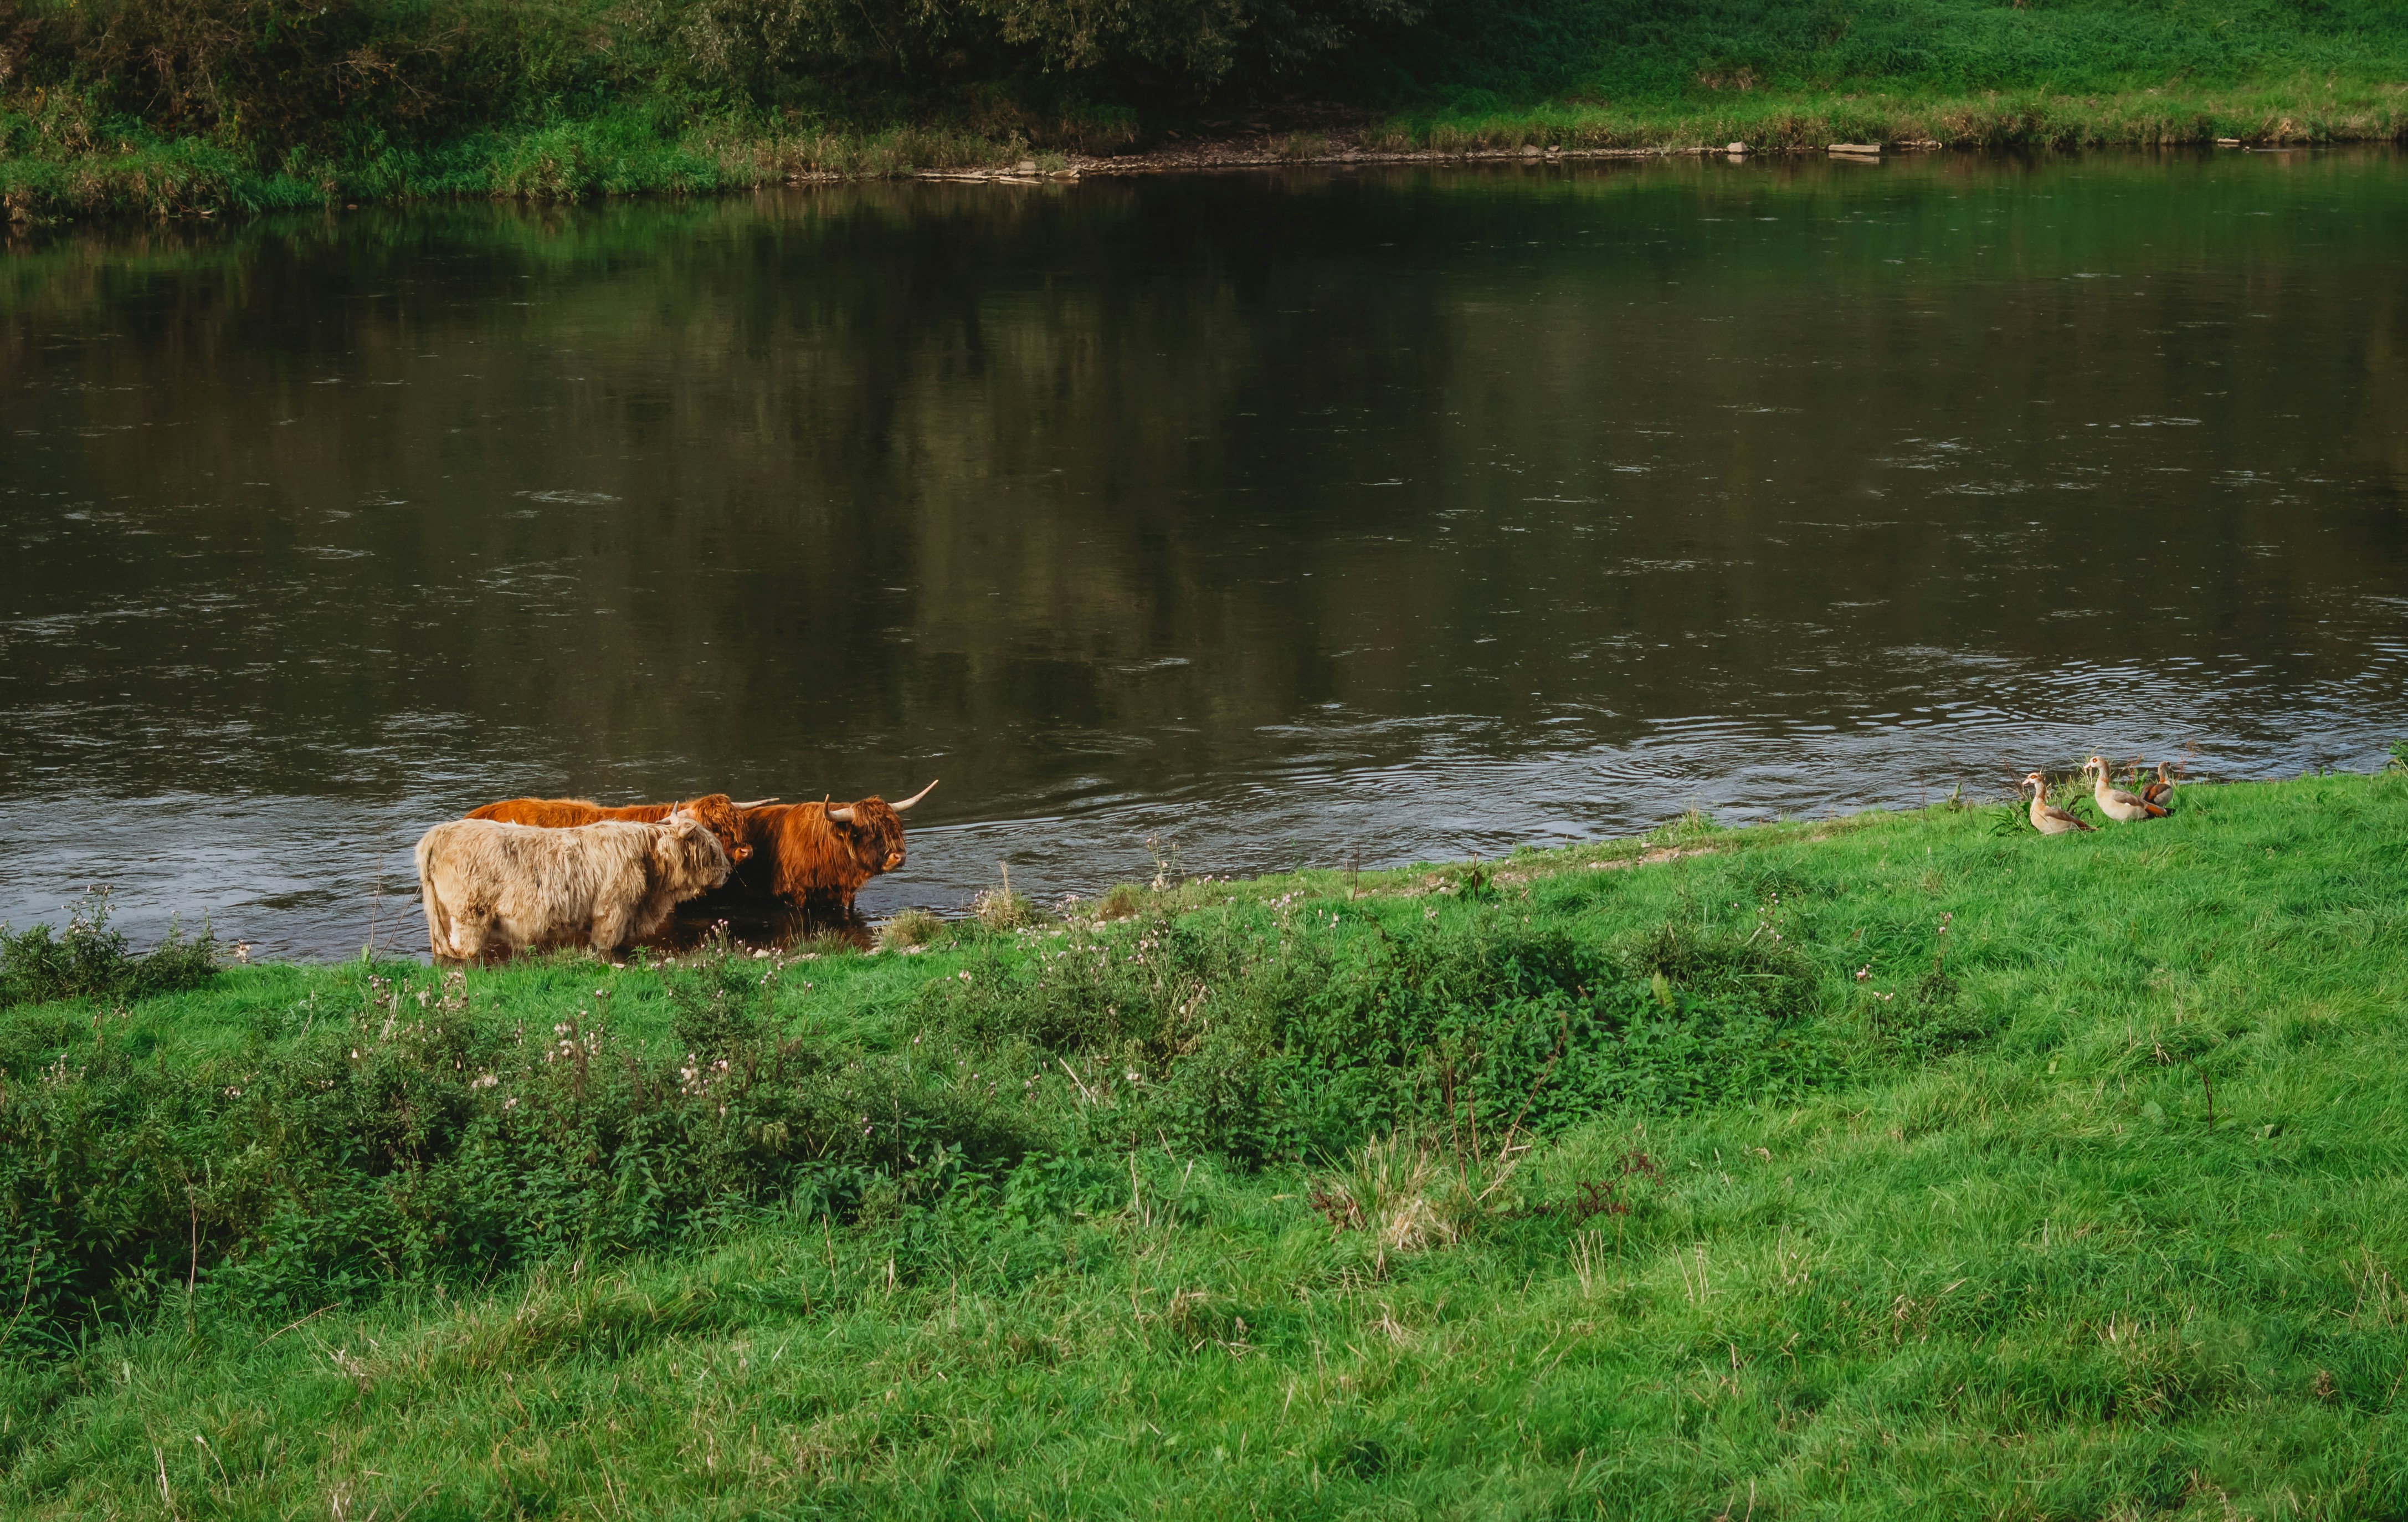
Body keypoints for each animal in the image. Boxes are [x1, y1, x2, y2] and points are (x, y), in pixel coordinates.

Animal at [416, 814, 732, 962]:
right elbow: (606, 947)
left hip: (444, 919)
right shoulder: (612, 913)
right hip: (469, 917)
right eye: (711, 849)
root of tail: (441, 831)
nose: (729, 872)